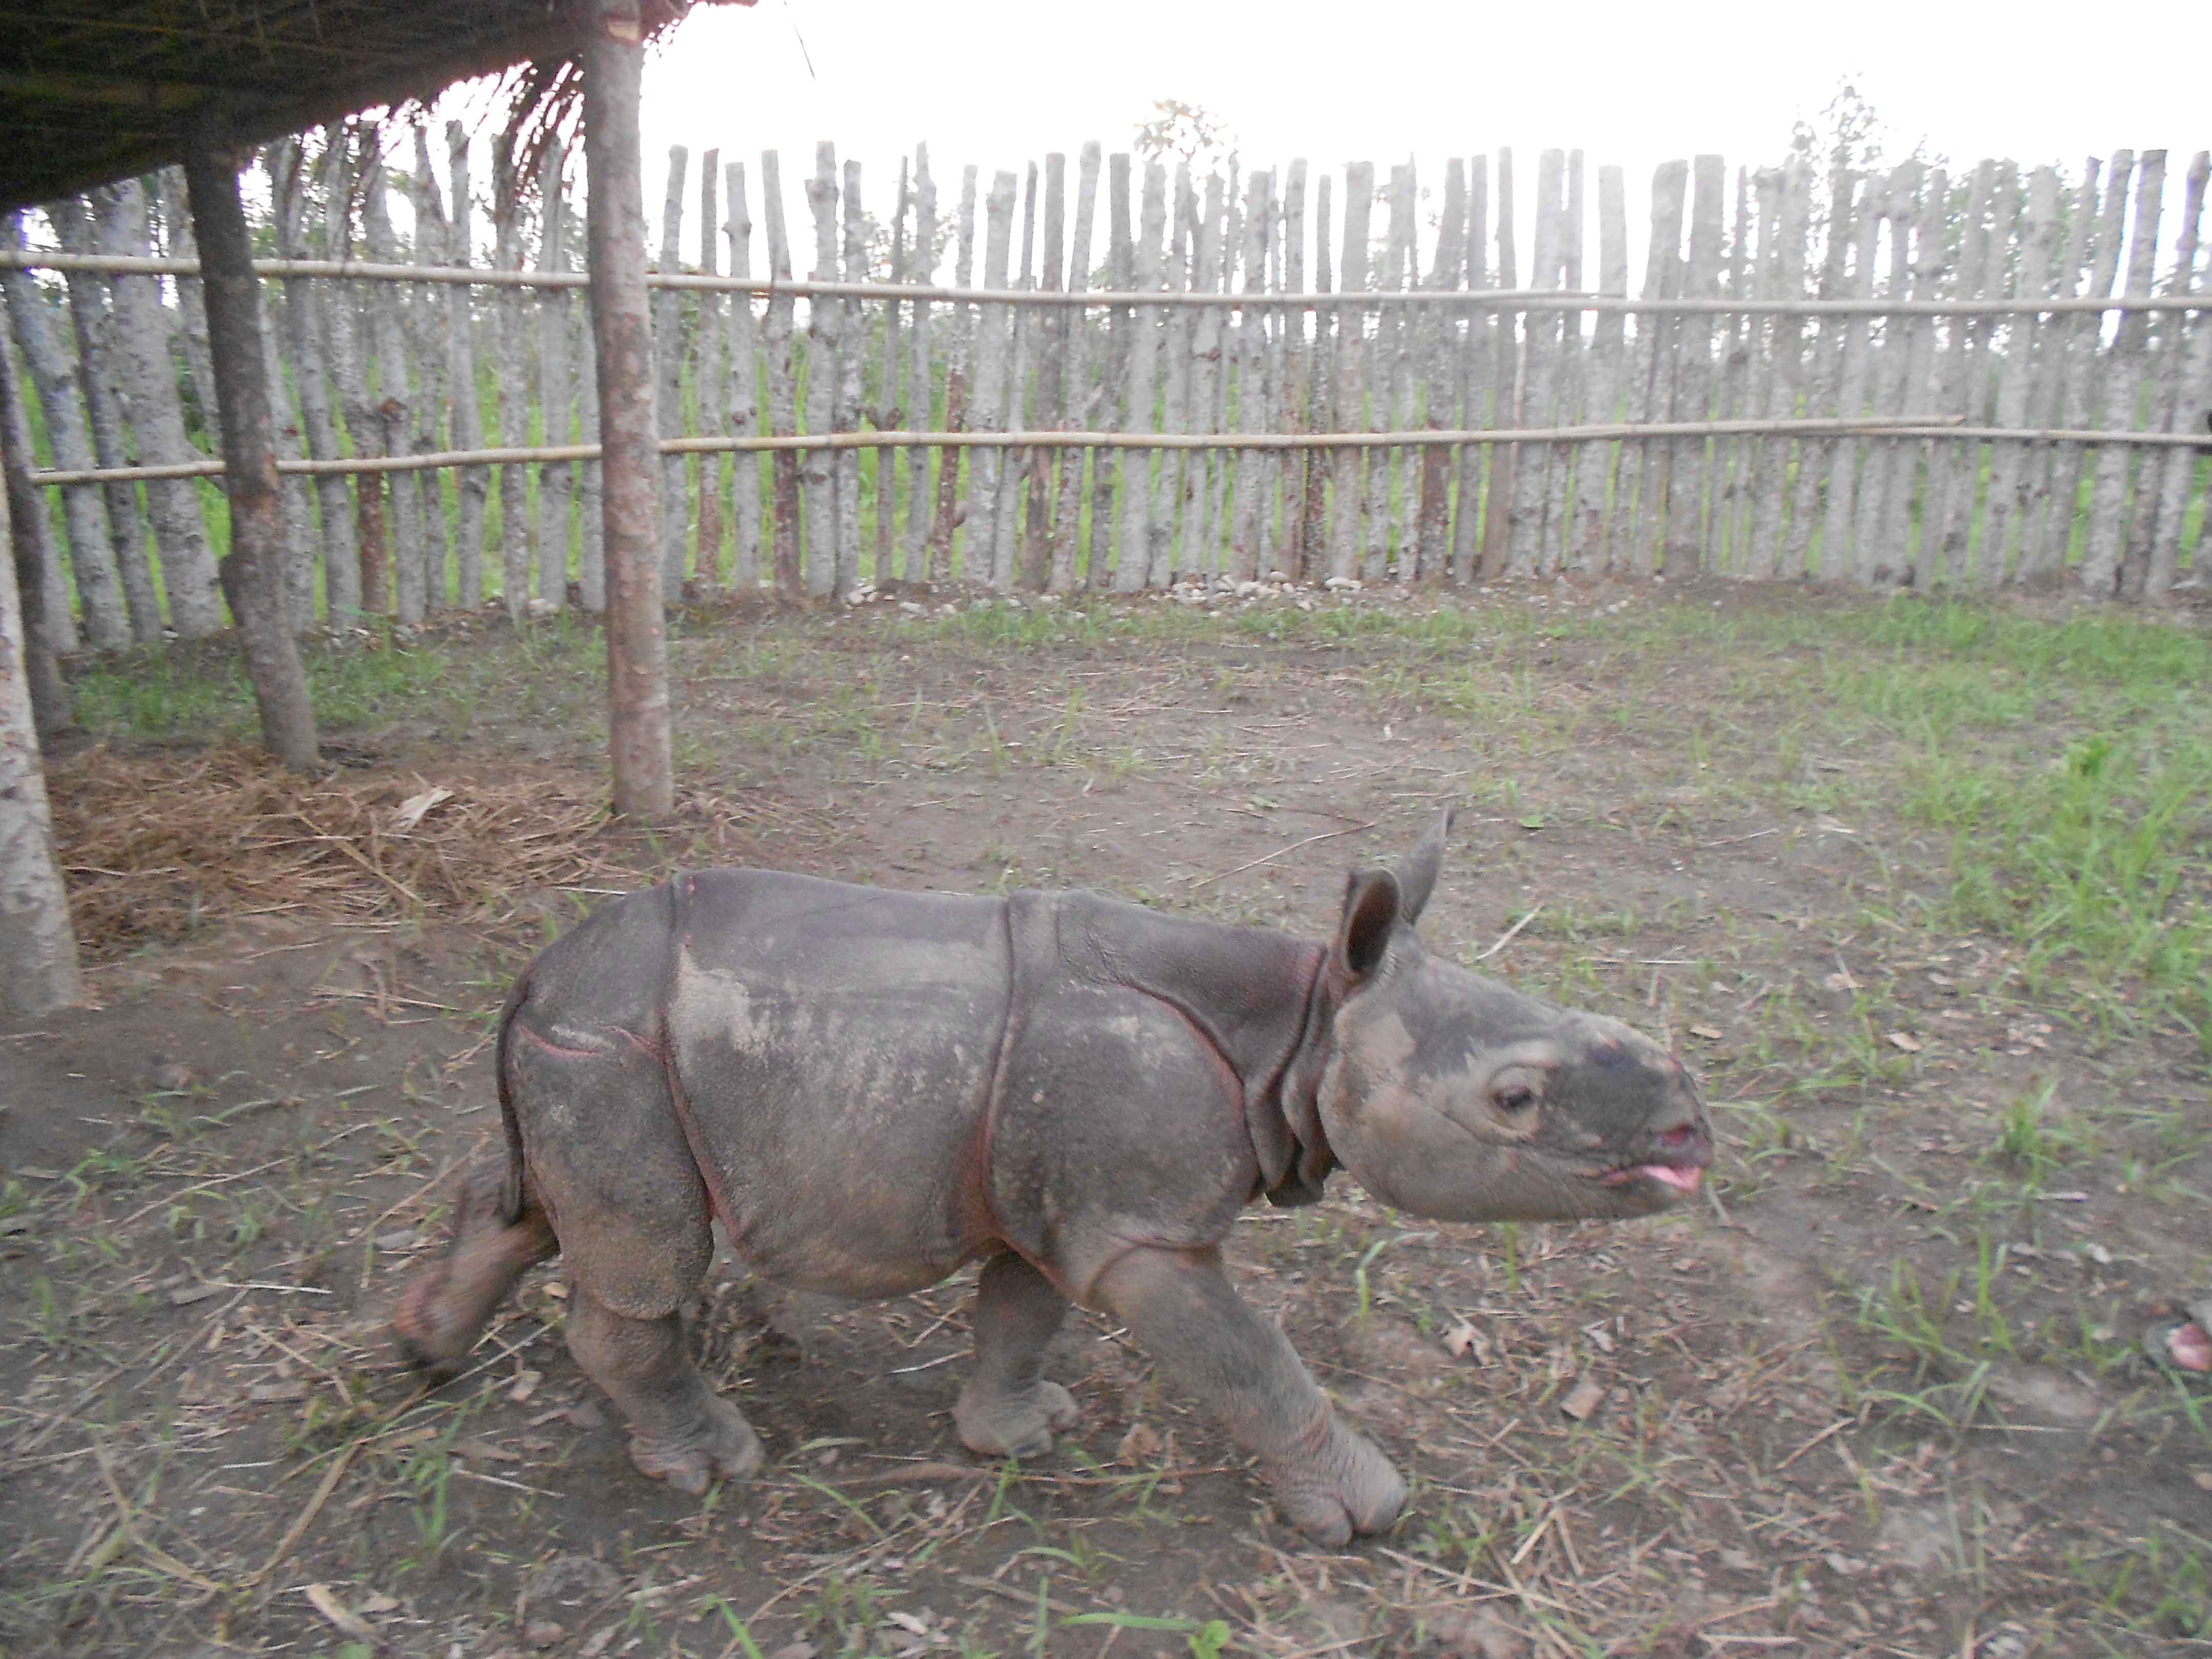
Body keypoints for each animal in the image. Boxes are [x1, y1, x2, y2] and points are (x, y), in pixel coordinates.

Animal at [393, 809, 1710, 1545]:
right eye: (1513, 1099)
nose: (1691, 1134)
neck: (1300, 1024)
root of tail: (535, 972)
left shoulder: (1063, 1198)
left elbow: (1022, 1312)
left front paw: (1017, 1438)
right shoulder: (1141, 1228)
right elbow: (1249, 1358)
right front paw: (1369, 1516)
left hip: (596, 1045)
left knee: (536, 1206)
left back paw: (423, 1355)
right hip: (617, 1048)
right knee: (644, 1265)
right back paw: (714, 1465)